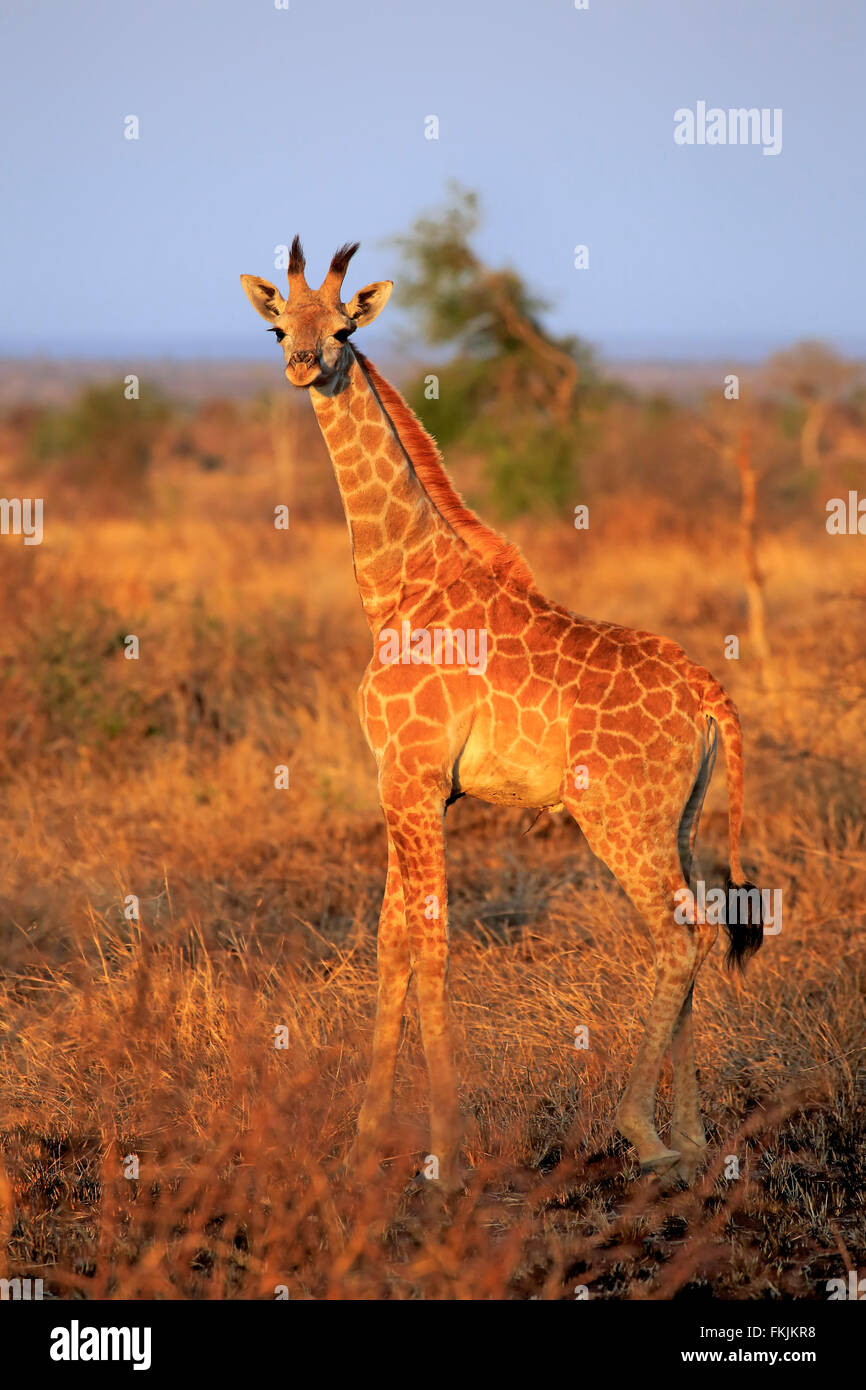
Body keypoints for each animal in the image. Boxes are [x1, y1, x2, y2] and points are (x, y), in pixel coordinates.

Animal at [241, 238, 764, 1185]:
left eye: (344, 328)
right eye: (276, 326)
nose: (304, 364)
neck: (399, 584)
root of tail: (711, 695)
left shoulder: (414, 776)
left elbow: (432, 942)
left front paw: (445, 1147)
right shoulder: (401, 784)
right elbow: (392, 942)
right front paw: (365, 1140)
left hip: (617, 815)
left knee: (682, 932)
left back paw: (642, 1133)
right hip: (680, 816)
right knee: (702, 926)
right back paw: (696, 1137)